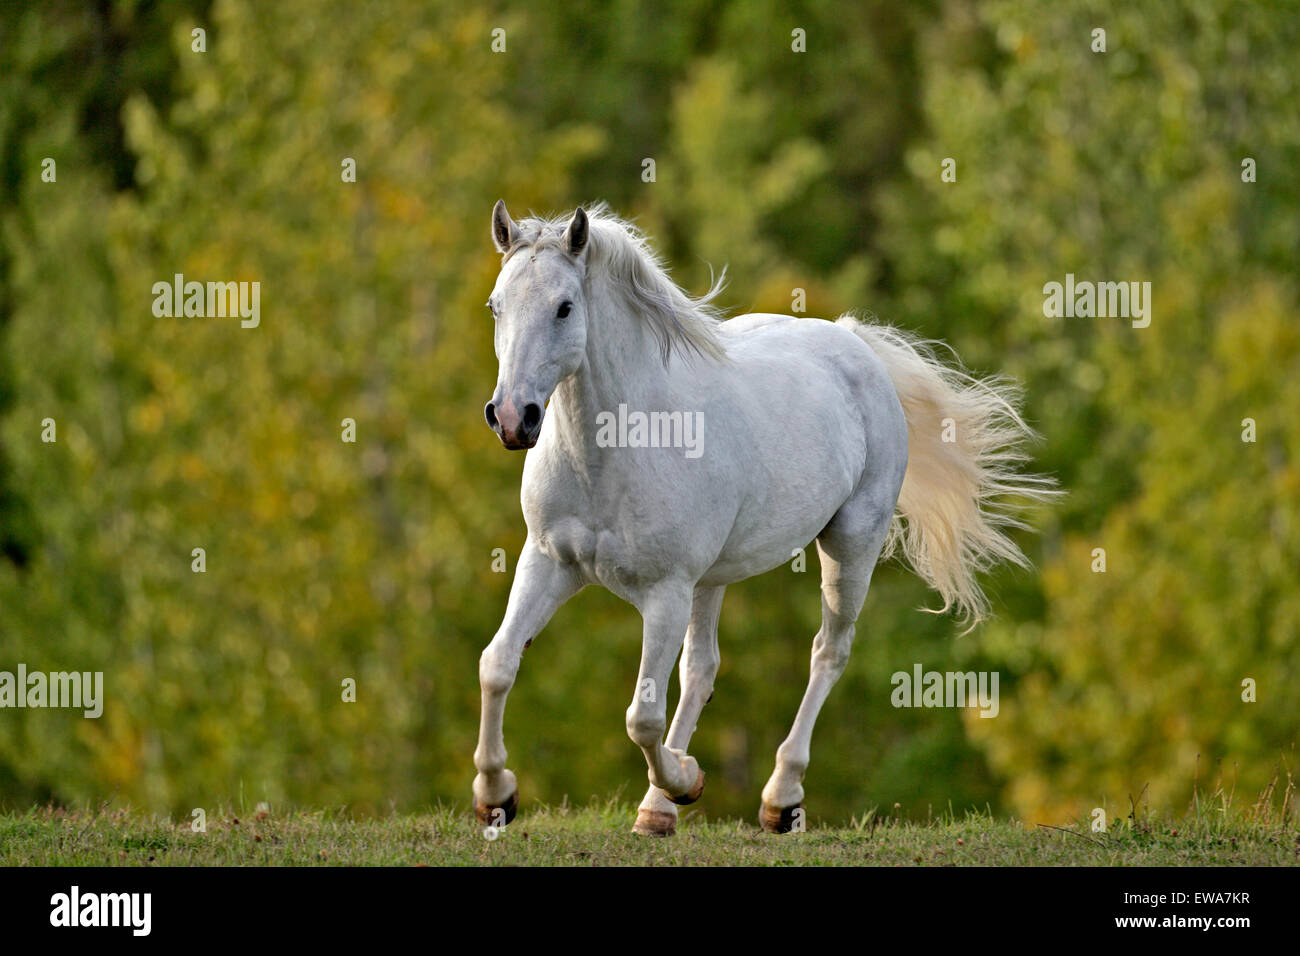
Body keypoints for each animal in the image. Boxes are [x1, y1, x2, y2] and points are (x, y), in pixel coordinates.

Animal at [473, 200, 1057, 836]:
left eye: (564, 307)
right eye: (496, 306)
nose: (513, 417)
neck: (614, 447)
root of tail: (855, 345)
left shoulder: (665, 592)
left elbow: (642, 717)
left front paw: (685, 779)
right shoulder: (548, 562)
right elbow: (497, 663)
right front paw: (496, 795)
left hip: (849, 546)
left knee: (828, 652)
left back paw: (778, 798)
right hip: (712, 579)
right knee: (702, 670)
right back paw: (659, 810)